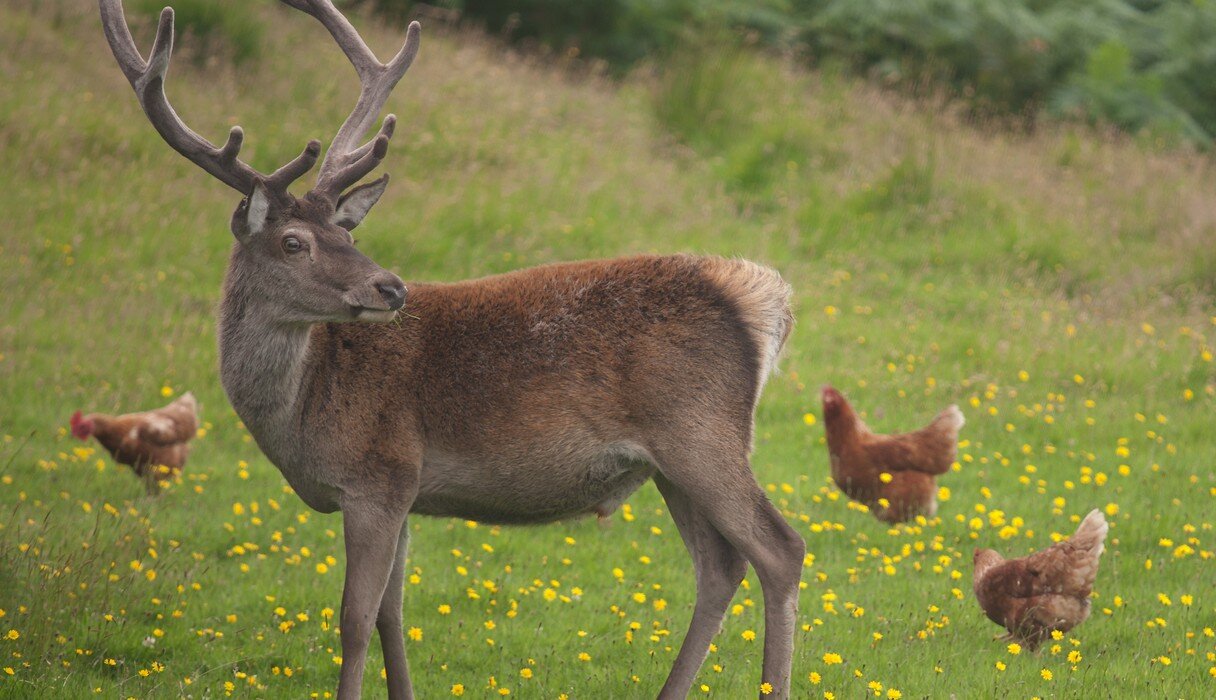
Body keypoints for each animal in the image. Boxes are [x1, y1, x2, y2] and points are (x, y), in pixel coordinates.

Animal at [98, 1, 806, 698]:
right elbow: (391, 614)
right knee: (720, 566)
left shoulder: (376, 473)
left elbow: (354, 619)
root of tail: (760, 296)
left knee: (781, 550)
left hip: (699, 431)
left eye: (347, 235)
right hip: (670, 462)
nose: (390, 286)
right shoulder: (402, 488)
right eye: (295, 242)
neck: (301, 412)